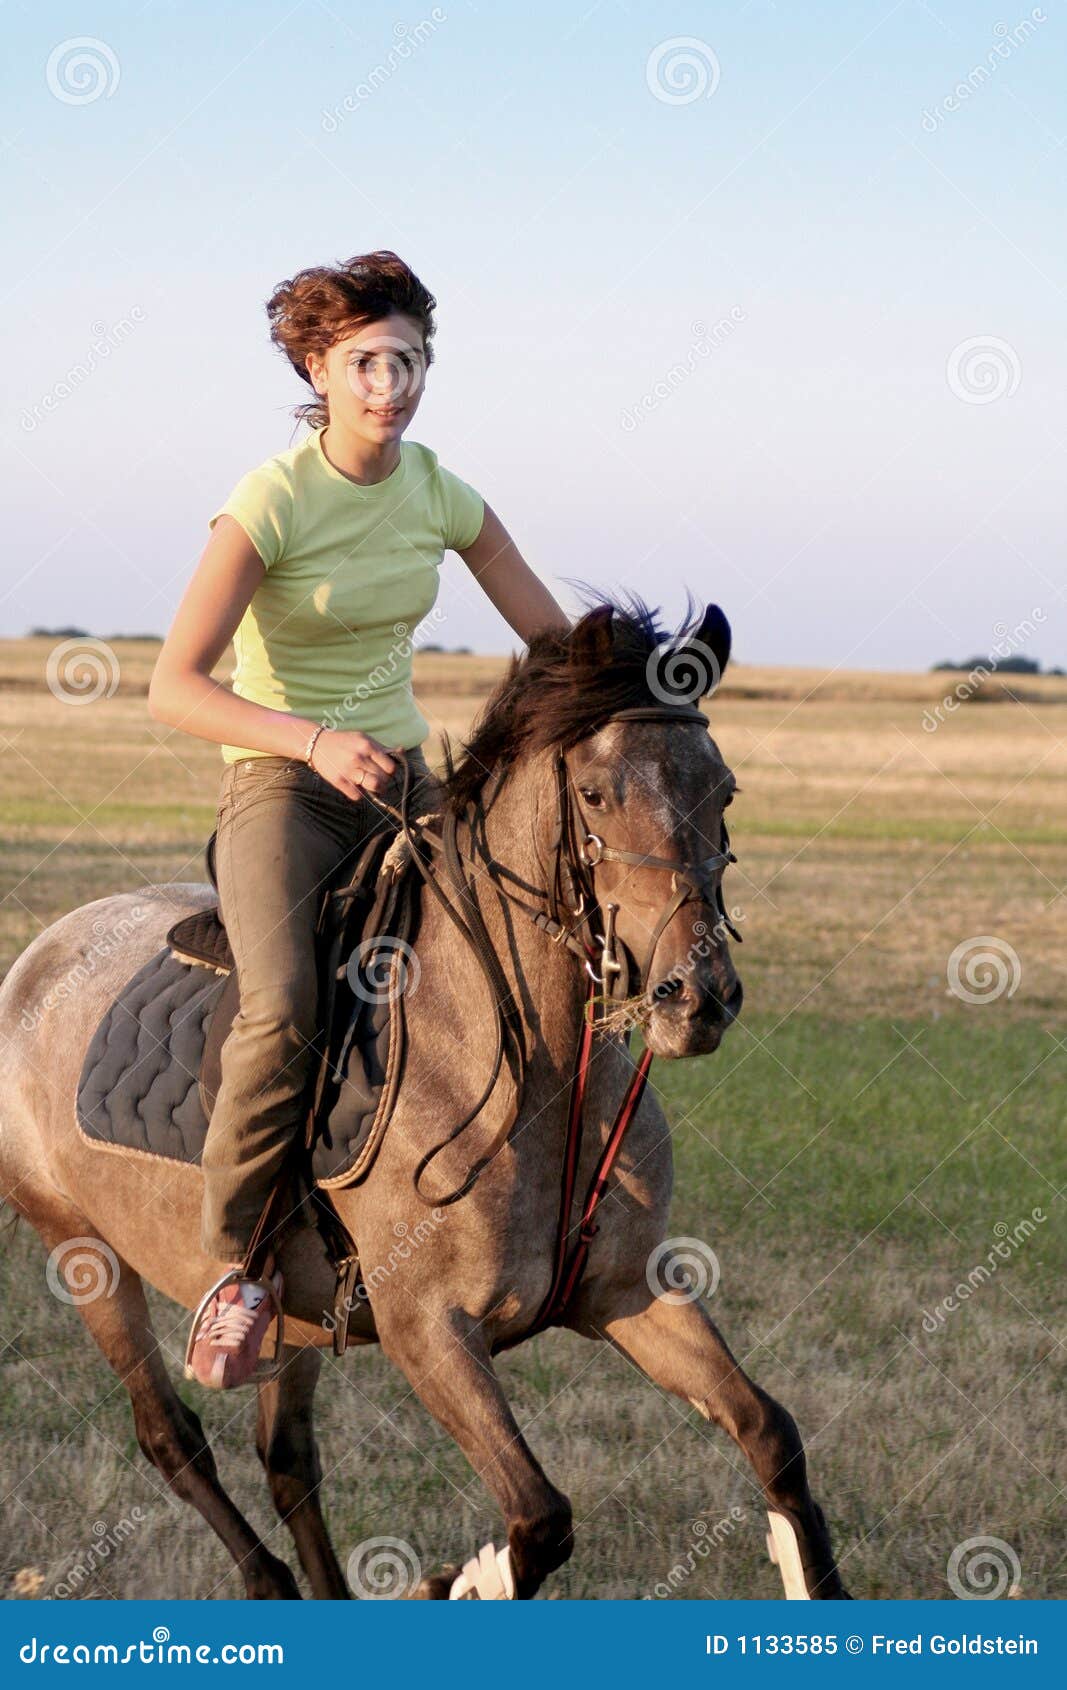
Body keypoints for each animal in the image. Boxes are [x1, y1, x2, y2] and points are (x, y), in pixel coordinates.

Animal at [0, 597, 850, 1600]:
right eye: (596, 794)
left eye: (722, 789)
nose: (699, 995)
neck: (536, 1075)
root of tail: (44, 951)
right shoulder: (428, 1330)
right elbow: (539, 1519)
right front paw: (454, 1579)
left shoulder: (627, 1288)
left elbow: (770, 1434)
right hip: (82, 1252)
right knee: (172, 1438)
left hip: (290, 1311)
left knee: (285, 1459)